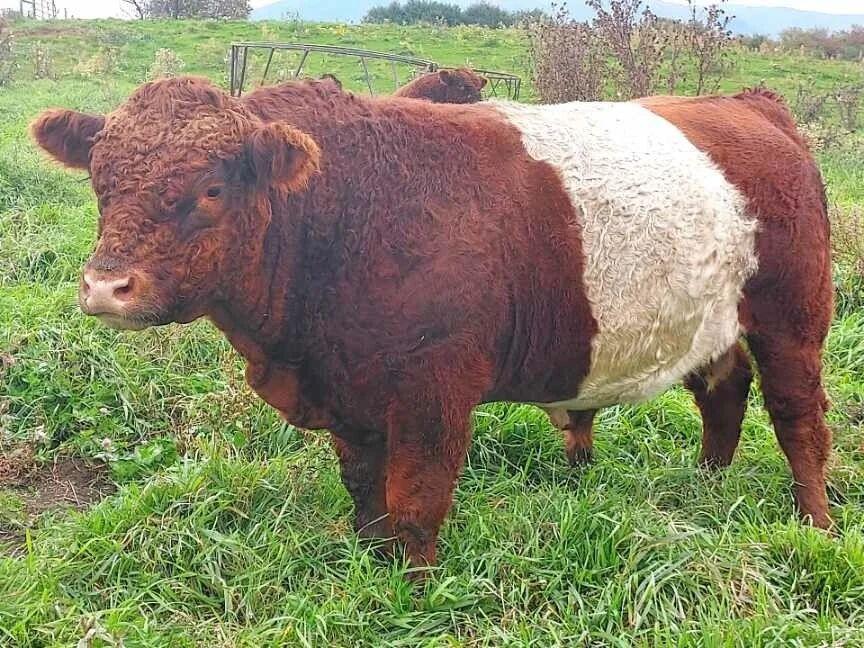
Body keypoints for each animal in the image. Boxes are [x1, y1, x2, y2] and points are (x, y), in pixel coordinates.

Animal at [30, 77, 834, 579]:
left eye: (211, 189)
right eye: (99, 180)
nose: (105, 288)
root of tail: (753, 105)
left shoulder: (434, 390)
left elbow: (417, 500)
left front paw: (412, 595)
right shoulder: (351, 392)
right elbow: (366, 493)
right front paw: (368, 566)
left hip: (793, 320)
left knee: (798, 420)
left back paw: (814, 524)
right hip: (712, 321)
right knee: (723, 392)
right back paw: (707, 486)